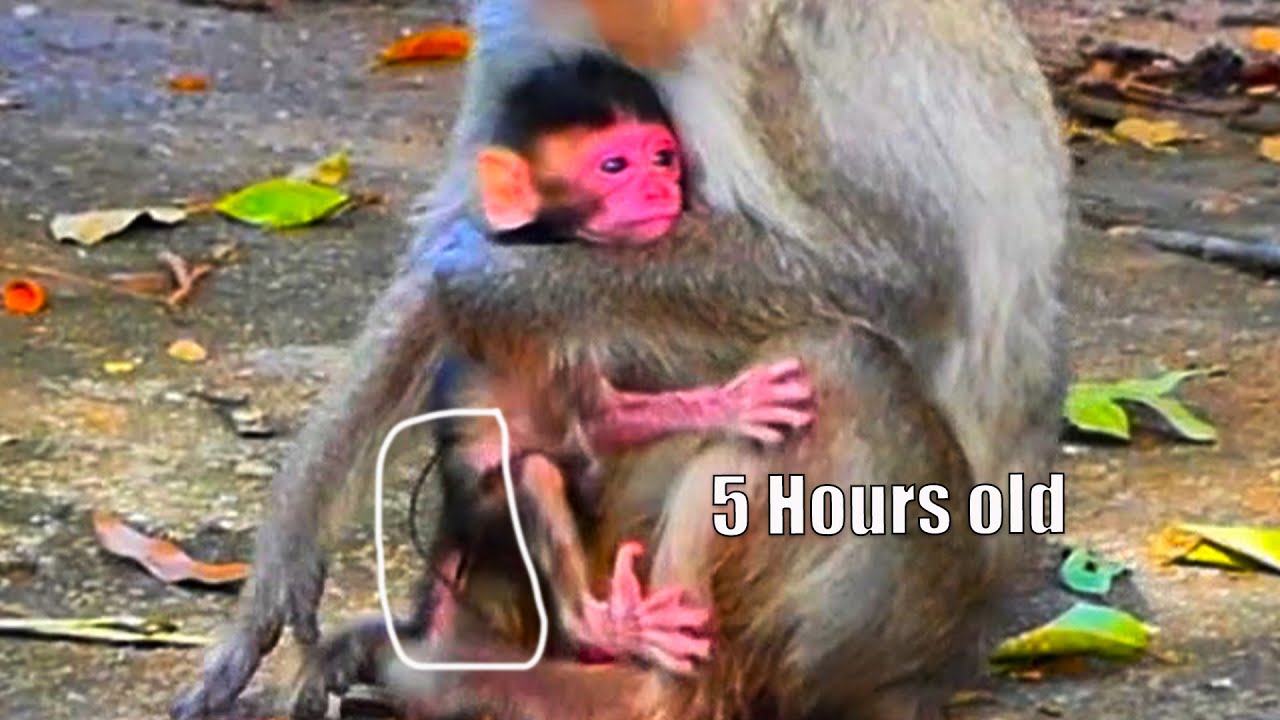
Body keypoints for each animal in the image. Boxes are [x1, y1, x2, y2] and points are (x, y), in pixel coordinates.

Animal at [170, 0, 1071, 718]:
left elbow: (890, 279)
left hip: (914, 602)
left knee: (836, 358)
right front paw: (281, 563)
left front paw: (476, 279)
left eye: (656, 163)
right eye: (615, 163)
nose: (649, 192)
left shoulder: (797, 45)